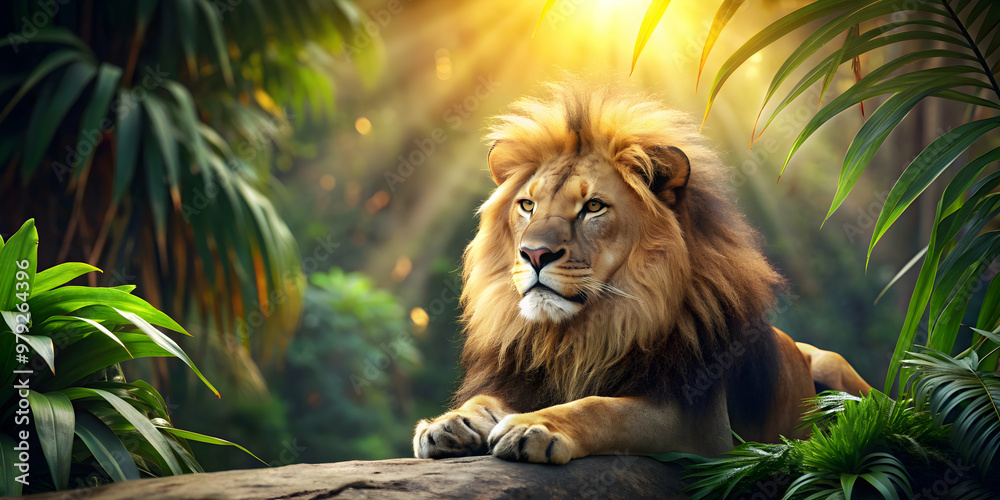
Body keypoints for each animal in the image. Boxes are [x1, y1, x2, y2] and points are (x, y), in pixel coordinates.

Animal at [413, 80, 871, 464]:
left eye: (593, 206)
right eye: (527, 205)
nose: (534, 253)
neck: (582, 335)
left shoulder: (701, 426)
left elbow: (602, 409)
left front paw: (535, 426)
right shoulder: (522, 378)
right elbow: (484, 401)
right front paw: (448, 423)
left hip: (834, 367)